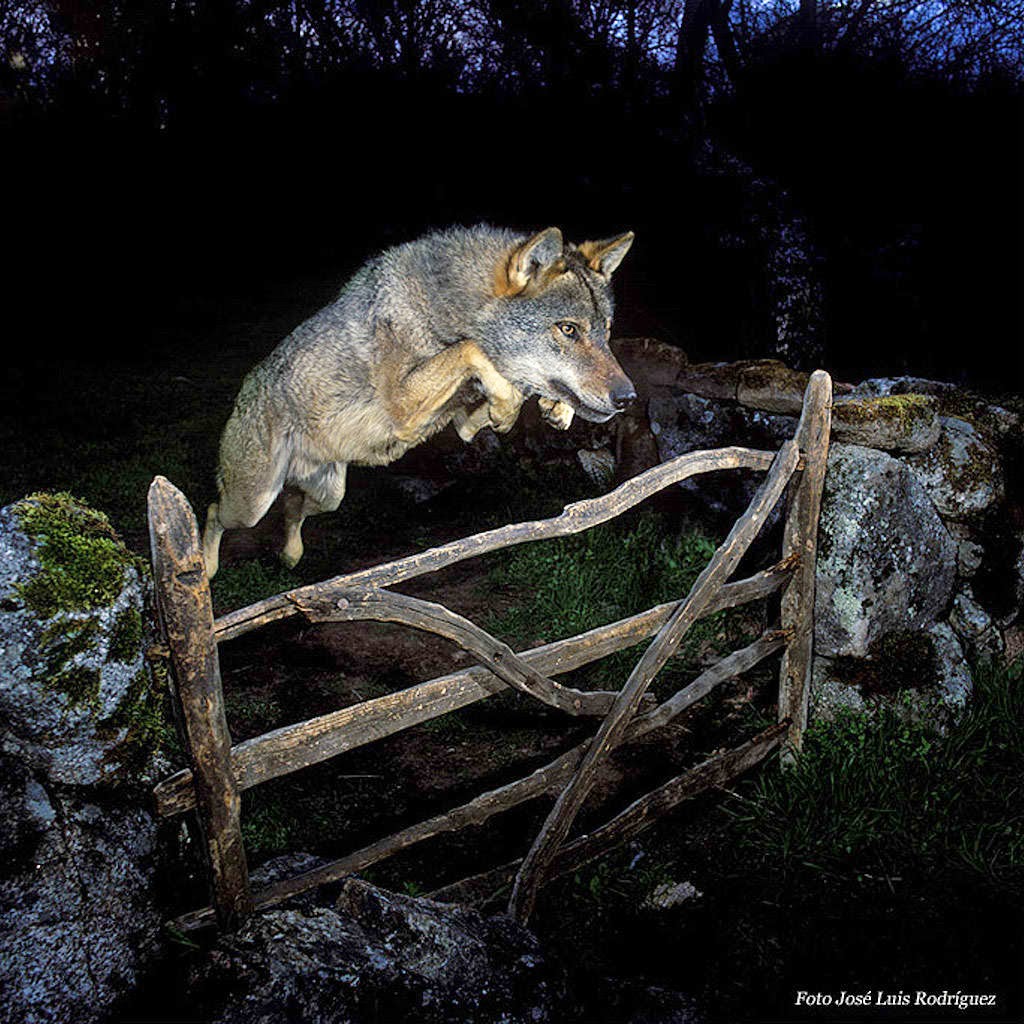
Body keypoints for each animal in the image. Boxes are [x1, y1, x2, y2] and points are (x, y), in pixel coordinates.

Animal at [202, 224, 636, 578]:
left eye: (605, 332)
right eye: (568, 330)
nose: (628, 398)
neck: (447, 308)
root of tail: (247, 387)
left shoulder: (461, 423)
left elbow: (506, 387)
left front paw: (551, 408)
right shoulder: (405, 404)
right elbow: (472, 349)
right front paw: (509, 404)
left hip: (328, 496)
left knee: (292, 508)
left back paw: (290, 556)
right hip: (251, 504)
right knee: (213, 511)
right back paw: (204, 569)